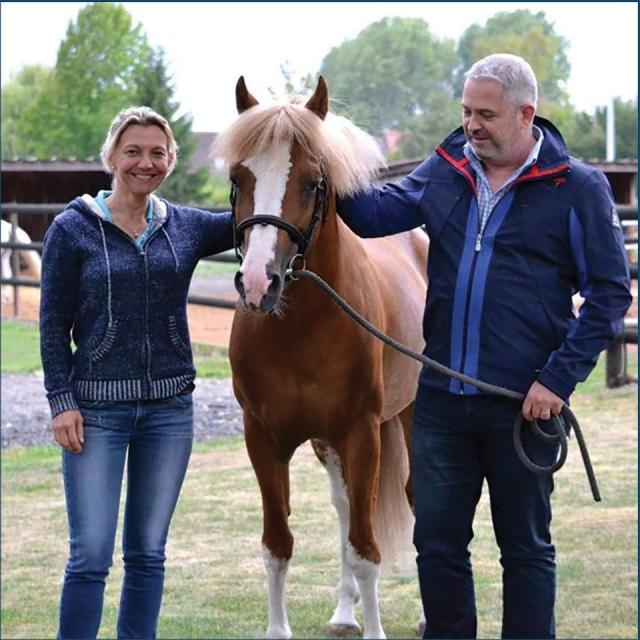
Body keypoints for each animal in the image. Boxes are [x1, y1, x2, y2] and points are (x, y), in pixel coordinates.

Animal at [213, 76, 429, 639]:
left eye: (312, 183)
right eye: (238, 178)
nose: (258, 283)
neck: (301, 329)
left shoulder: (362, 432)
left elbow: (366, 548)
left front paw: (375, 631)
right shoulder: (264, 439)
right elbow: (278, 545)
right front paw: (280, 630)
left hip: (409, 417)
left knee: (412, 499)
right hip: (327, 443)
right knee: (344, 507)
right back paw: (344, 612)